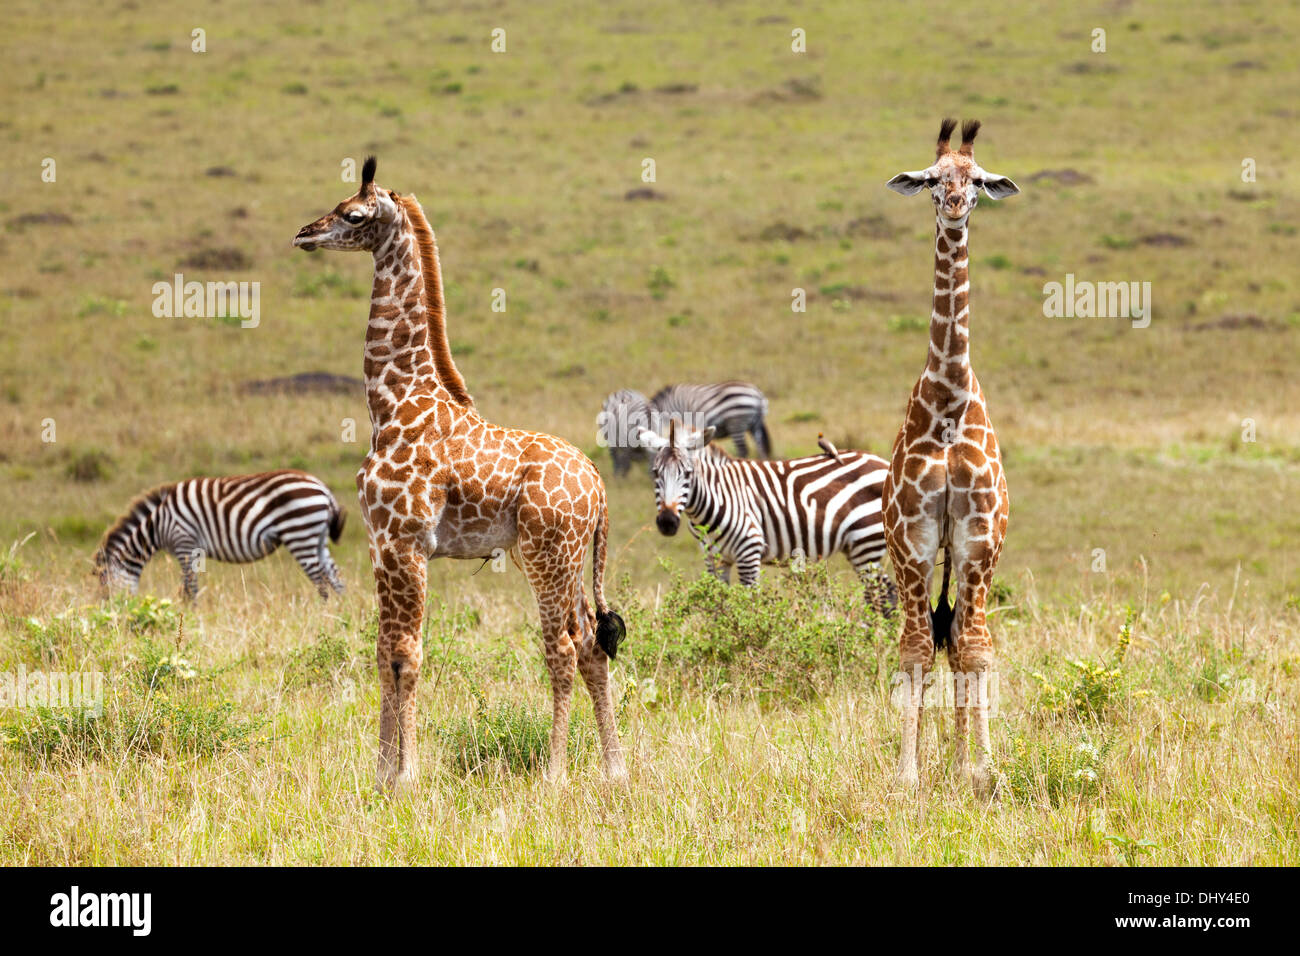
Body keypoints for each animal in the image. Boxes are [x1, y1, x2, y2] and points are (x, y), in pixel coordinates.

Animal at [293, 158, 627, 791]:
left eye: (353, 214)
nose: (304, 233)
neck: (392, 404)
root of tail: (598, 486)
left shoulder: (405, 542)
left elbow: (407, 653)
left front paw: (406, 776)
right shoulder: (379, 545)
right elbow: (382, 653)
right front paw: (380, 774)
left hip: (546, 556)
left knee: (563, 649)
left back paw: (555, 773)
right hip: (566, 560)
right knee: (594, 646)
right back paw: (615, 770)